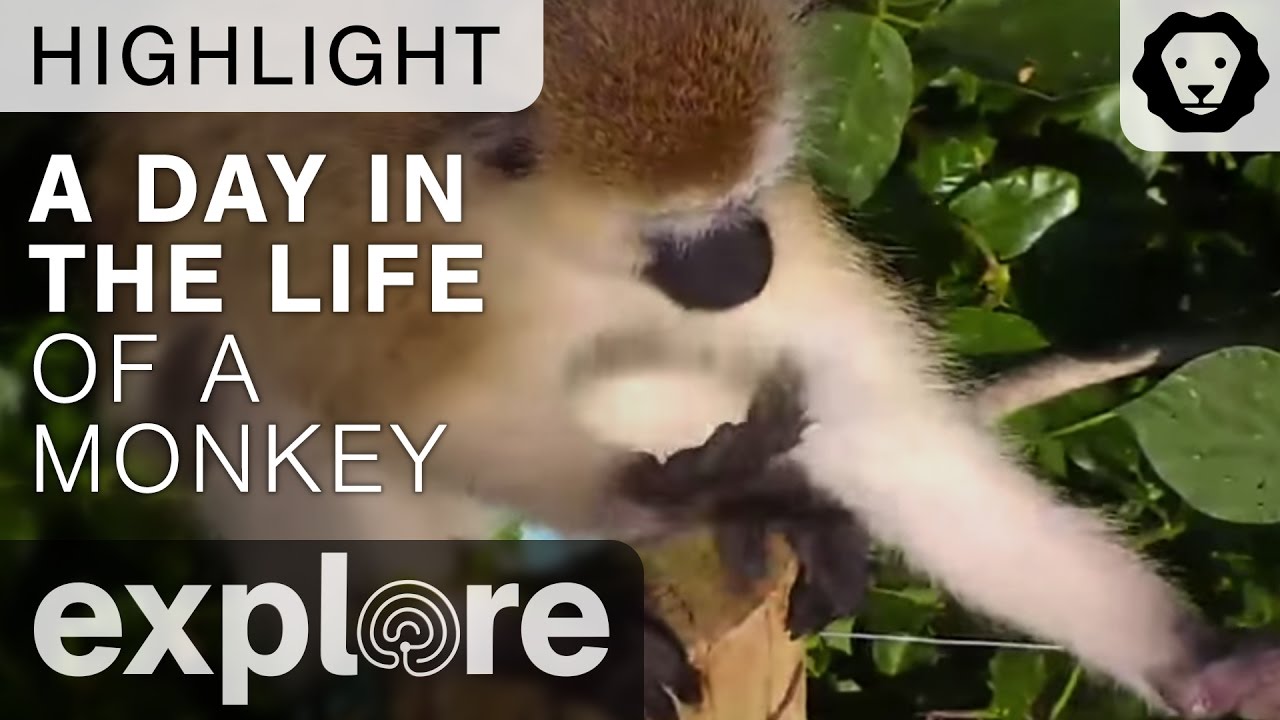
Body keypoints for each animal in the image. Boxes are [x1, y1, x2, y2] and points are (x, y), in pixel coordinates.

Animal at [82, 0, 1280, 718]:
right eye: (680, 229)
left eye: (744, 202)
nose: (747, 262)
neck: (526, 230)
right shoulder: (374, 245)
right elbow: (389, 407)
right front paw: (702, 492)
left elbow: (886, 430)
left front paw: (1195, 660)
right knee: (253, 394)